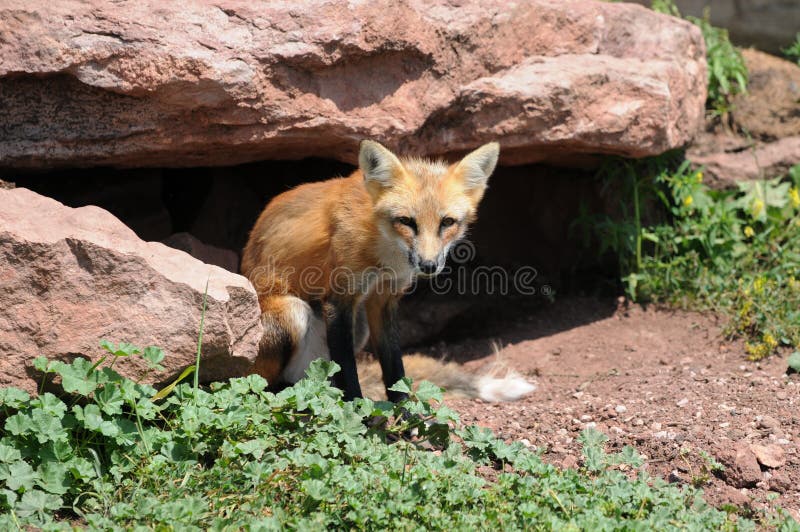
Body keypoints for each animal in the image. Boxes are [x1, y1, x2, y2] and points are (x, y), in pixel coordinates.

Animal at [240, 140, 535, 402]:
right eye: (406, 221)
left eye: (447, 222)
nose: (428, 265)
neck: (383, 251)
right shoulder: (339, 298)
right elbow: (349, 372)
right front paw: (357, 414)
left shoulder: (384, 299)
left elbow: (395, 369)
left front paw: (407, 417)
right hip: (293, 313)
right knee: (262, 386)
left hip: (357, 327)